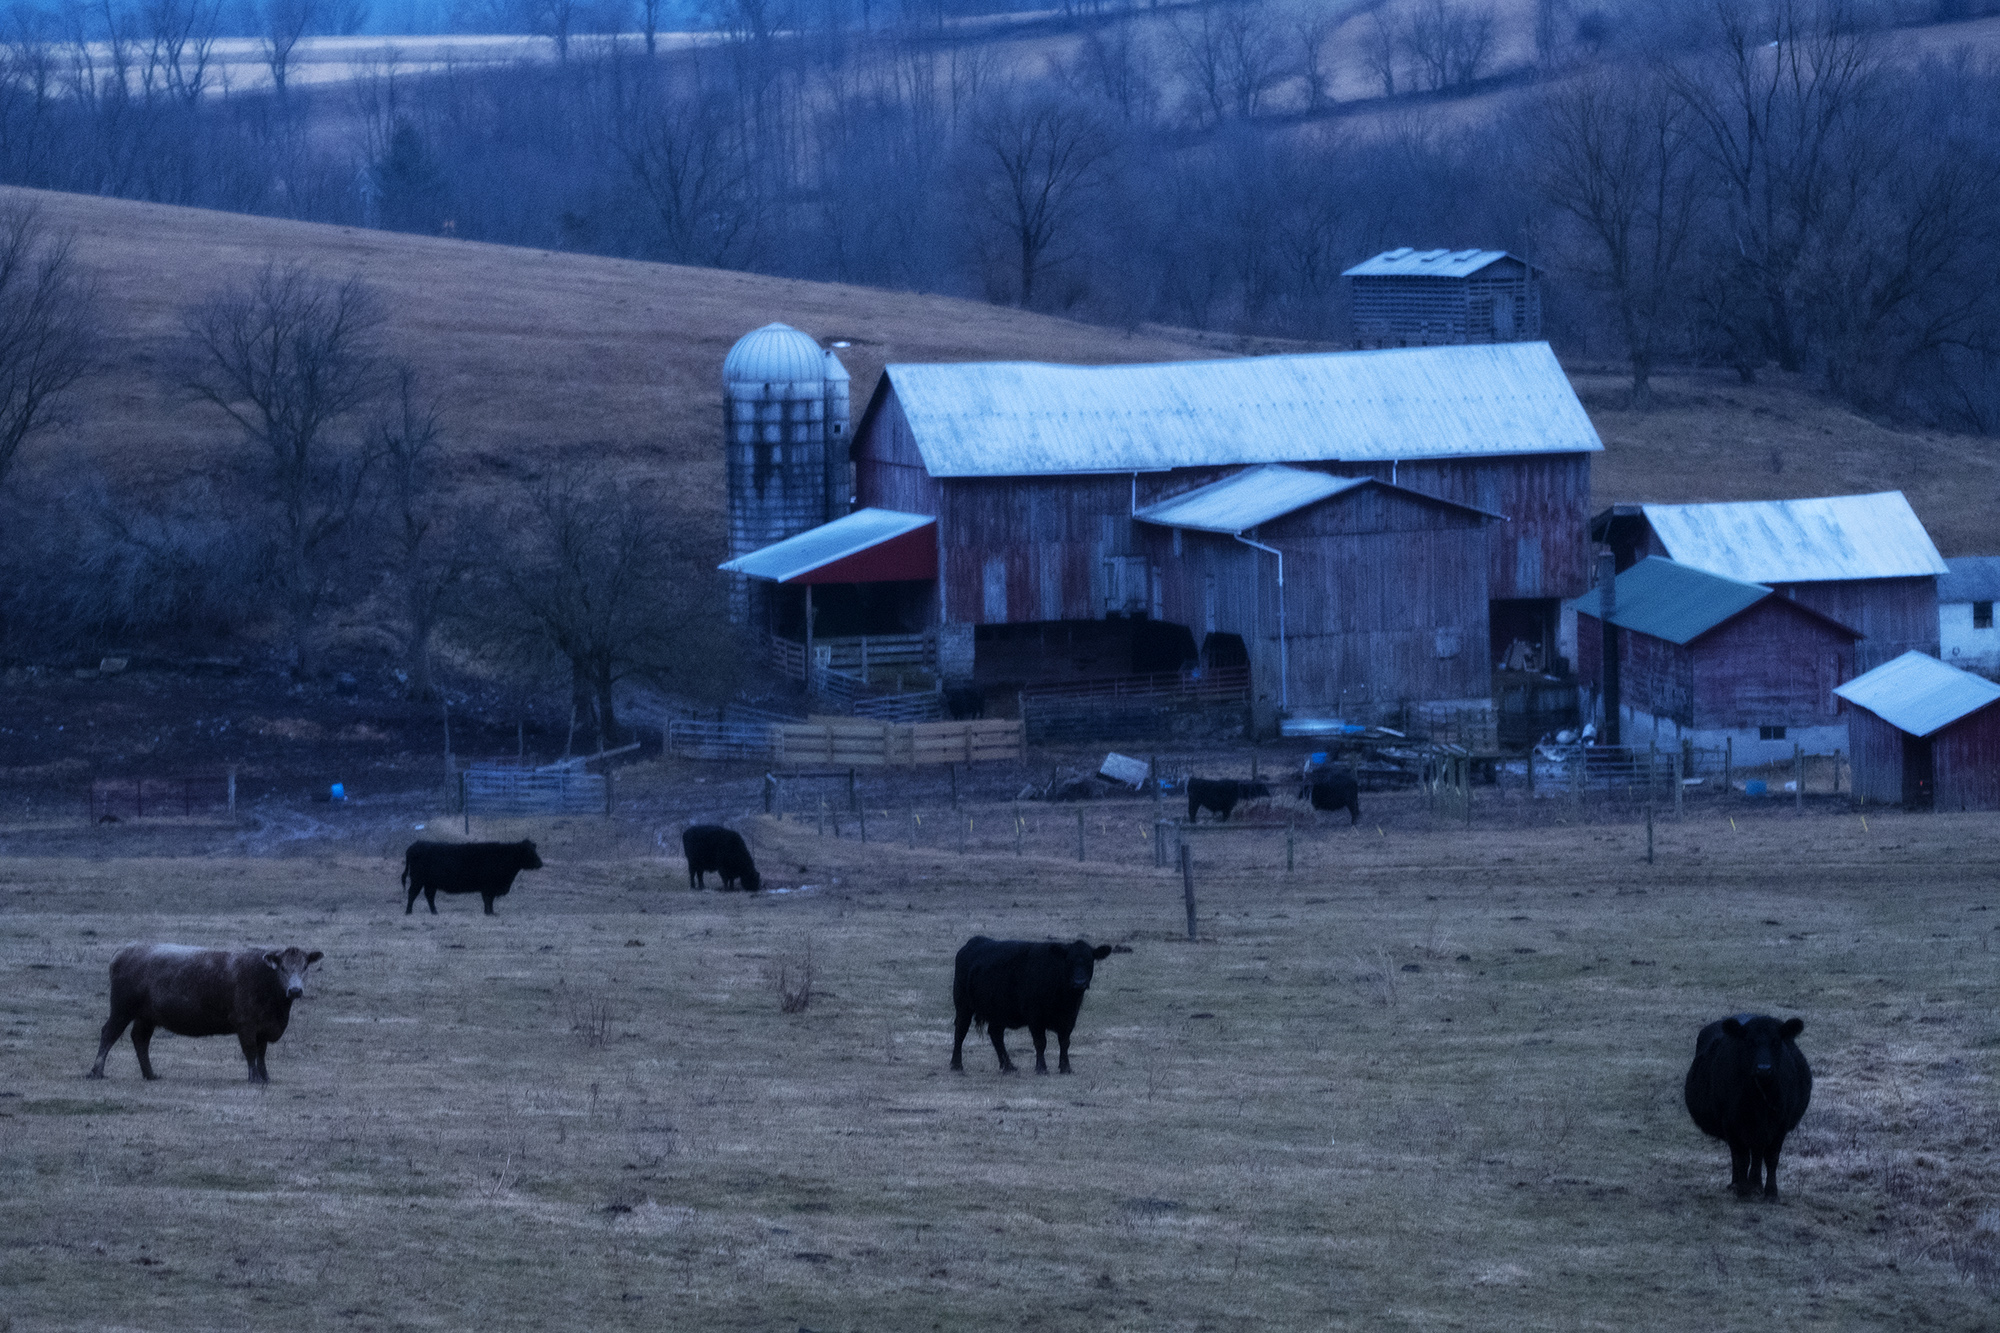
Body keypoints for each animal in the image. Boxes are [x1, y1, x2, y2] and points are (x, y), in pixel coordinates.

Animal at [88, 943, 322, 1083]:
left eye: (305, 967)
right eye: (282, 968)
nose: (295, 990)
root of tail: (125, 950)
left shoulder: (263, 1028)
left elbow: (261, 1053)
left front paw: (264, 1076)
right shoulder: (246, 1025)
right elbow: (251, 1051)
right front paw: (254, 1078)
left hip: (146, 1016)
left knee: (140, 1039)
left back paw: (150, 1074)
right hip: (122, 1010)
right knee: (109, 1033)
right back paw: (97, 1071)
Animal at [402, 839, 542, 915]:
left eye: (534, 849)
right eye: (529, 851)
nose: (540, 863)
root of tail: (415, 845)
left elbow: (489, 901)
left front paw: (491, 912)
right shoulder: (488, 886)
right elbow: (488, 900)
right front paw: (489, 913)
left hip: (430, 883)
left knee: (429, 896)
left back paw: (435, 912)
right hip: (418, 880)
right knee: (412, 893)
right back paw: (408, 912)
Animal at [951, 936, 1121, 1075]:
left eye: (1089, 961)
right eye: (1069, 961)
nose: (1079, 983)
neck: (1064, 1000)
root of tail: (974, 941)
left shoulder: (1070, 1018)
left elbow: (1065, 1042)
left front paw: (1065, 1067)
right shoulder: (1035, 1017)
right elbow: (1040, 1043)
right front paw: (1041, 1068)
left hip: (998, 1013)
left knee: (996, 1034)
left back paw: (1008, 1066)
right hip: (963, 1005)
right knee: (960, 1031)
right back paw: (956, 1064)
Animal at [1684, 1014, 1813, 1199]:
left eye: (1776, 1041)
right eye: (1749, 1042)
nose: (1764, 1069)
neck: (1759, 1101)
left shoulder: (1781, 1123)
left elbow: (1771, 1158)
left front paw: (1771, 1192)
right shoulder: (1731, 1123)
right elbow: (1741, 1158)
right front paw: (1743, 1190)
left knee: (1758, 1153)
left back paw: (1756, 1184)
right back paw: (1739, 1184)